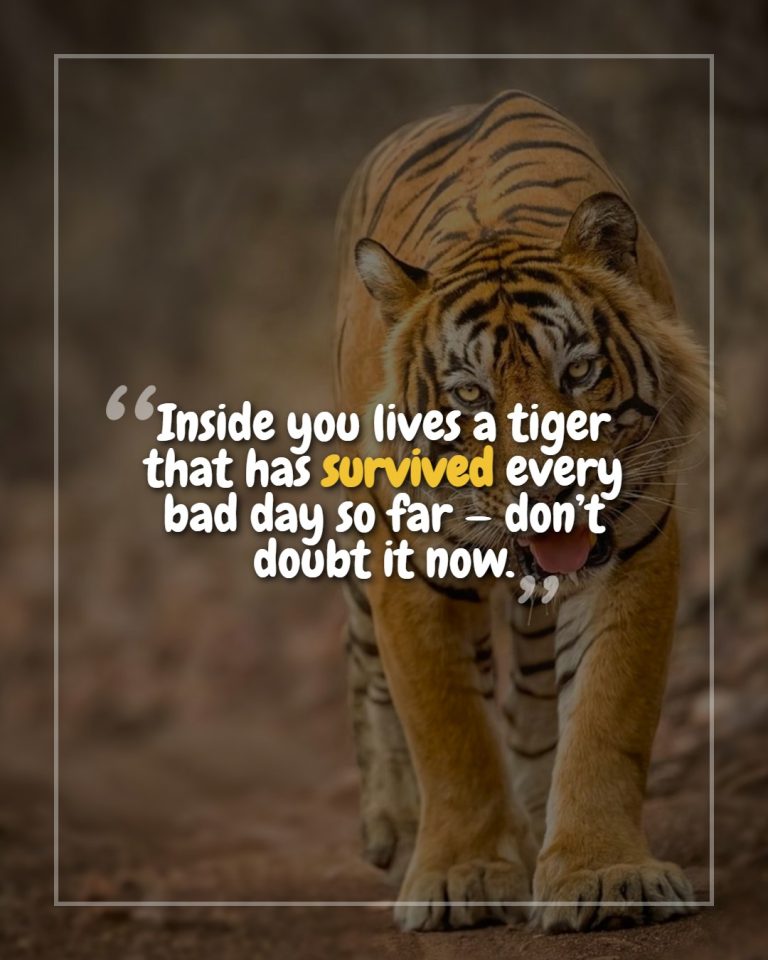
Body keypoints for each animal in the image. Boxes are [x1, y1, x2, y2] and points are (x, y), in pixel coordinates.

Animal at [333, 89, 708, 933]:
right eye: (472, 395)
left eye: (580, 372)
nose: (547, 492)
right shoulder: (411, 568)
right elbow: (448, 730)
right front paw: (460, 877)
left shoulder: (637, 544)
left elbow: (605, 714)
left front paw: (603, 874)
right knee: (367, 669)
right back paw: (391, 825)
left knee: (534, 689)